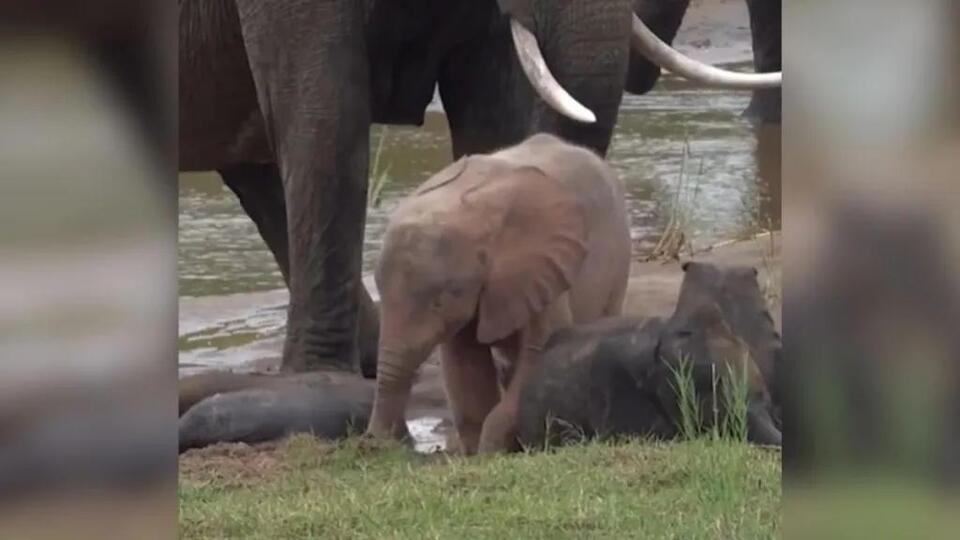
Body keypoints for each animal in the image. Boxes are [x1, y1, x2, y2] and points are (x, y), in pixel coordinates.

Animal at [364, 133, 632, 453]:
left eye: (444, 298)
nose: (378, 444)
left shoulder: (542, 268)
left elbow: (538, 353)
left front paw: (489, 452)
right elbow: (464, 364)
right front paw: (476, 453)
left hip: (618, 260)